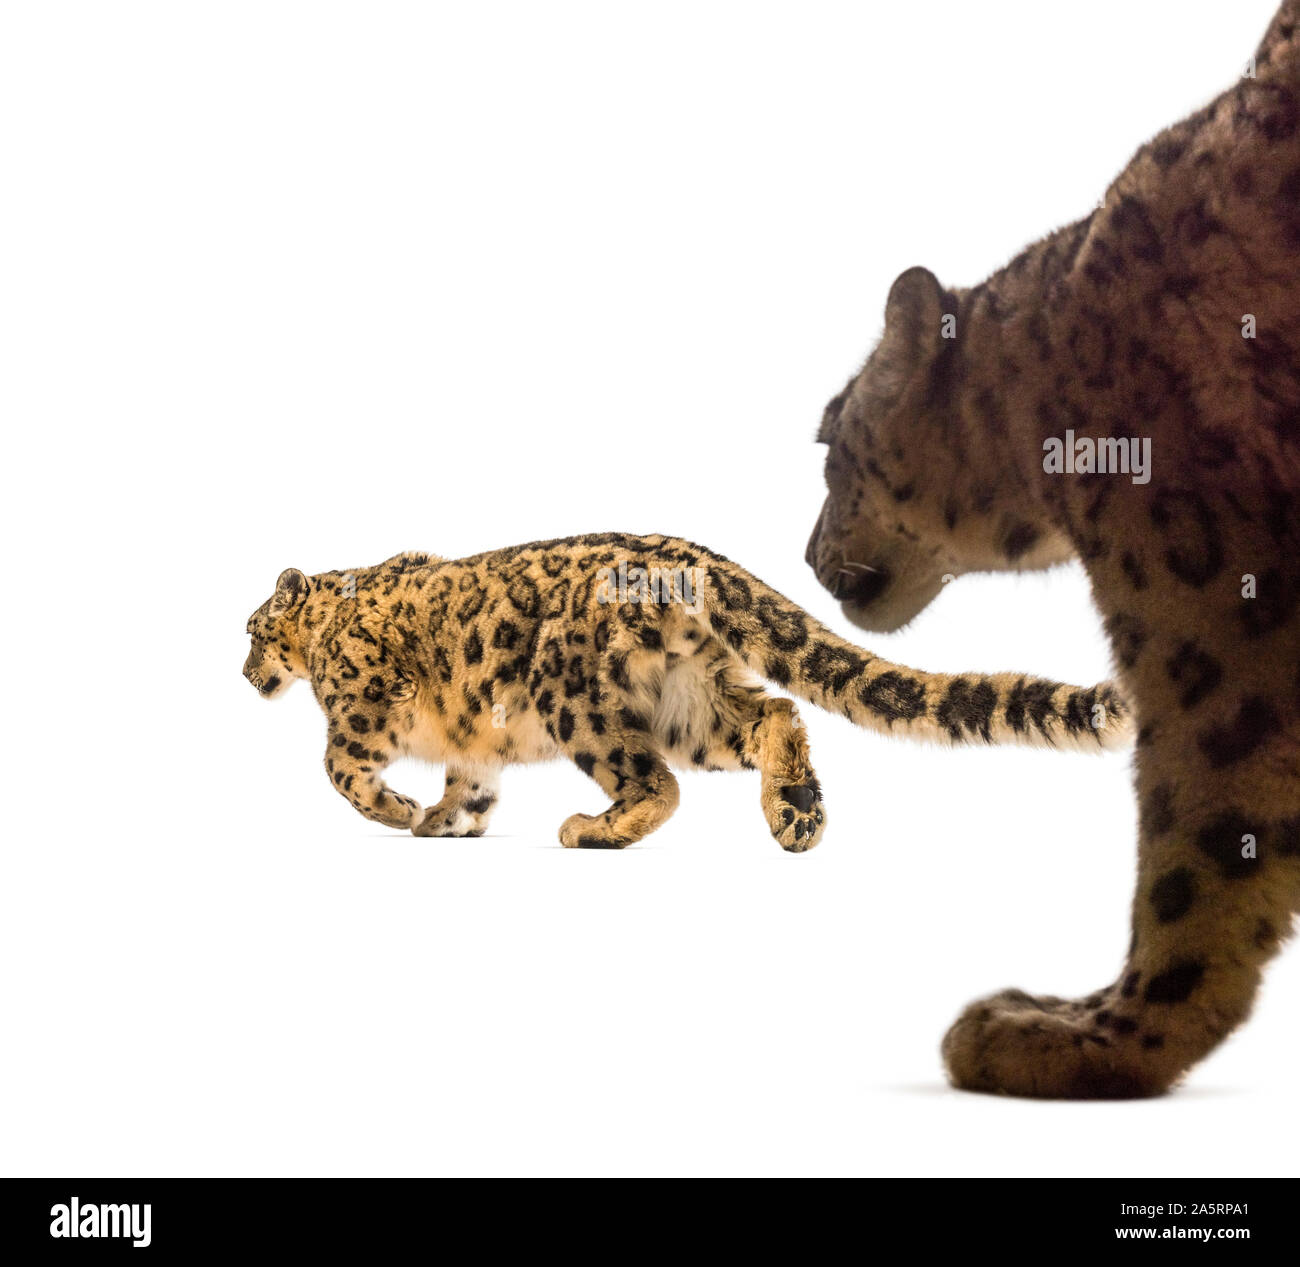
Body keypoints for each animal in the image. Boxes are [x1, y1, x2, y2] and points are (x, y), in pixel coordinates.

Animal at [243, 534, 1129, 852]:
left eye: (251, 631)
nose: (245, 674)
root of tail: (686, 555)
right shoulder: (475, 745)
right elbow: (472, 783)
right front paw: (442, 821)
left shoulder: (363, 700)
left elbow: (341, 767)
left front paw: (398, 810)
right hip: (690, 701)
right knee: (777, 711)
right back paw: (797, 812)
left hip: (577, 699)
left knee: (657, 783)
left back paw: (591, 828)